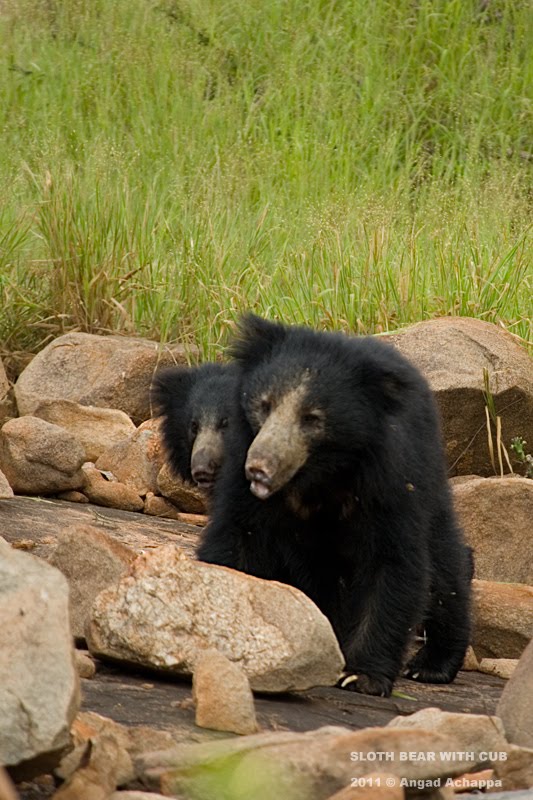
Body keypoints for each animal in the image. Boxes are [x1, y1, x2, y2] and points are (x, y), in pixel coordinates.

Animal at [197, 315, 472, 697]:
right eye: (264, 405)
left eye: (312, 418)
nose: (259, 469)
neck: (319, 473)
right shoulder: (241, 472)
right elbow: (236, 538)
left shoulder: (388, 480)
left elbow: (392, 563)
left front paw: (362, 676)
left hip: (431, 482)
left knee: (446, 568)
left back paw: (432, 664)